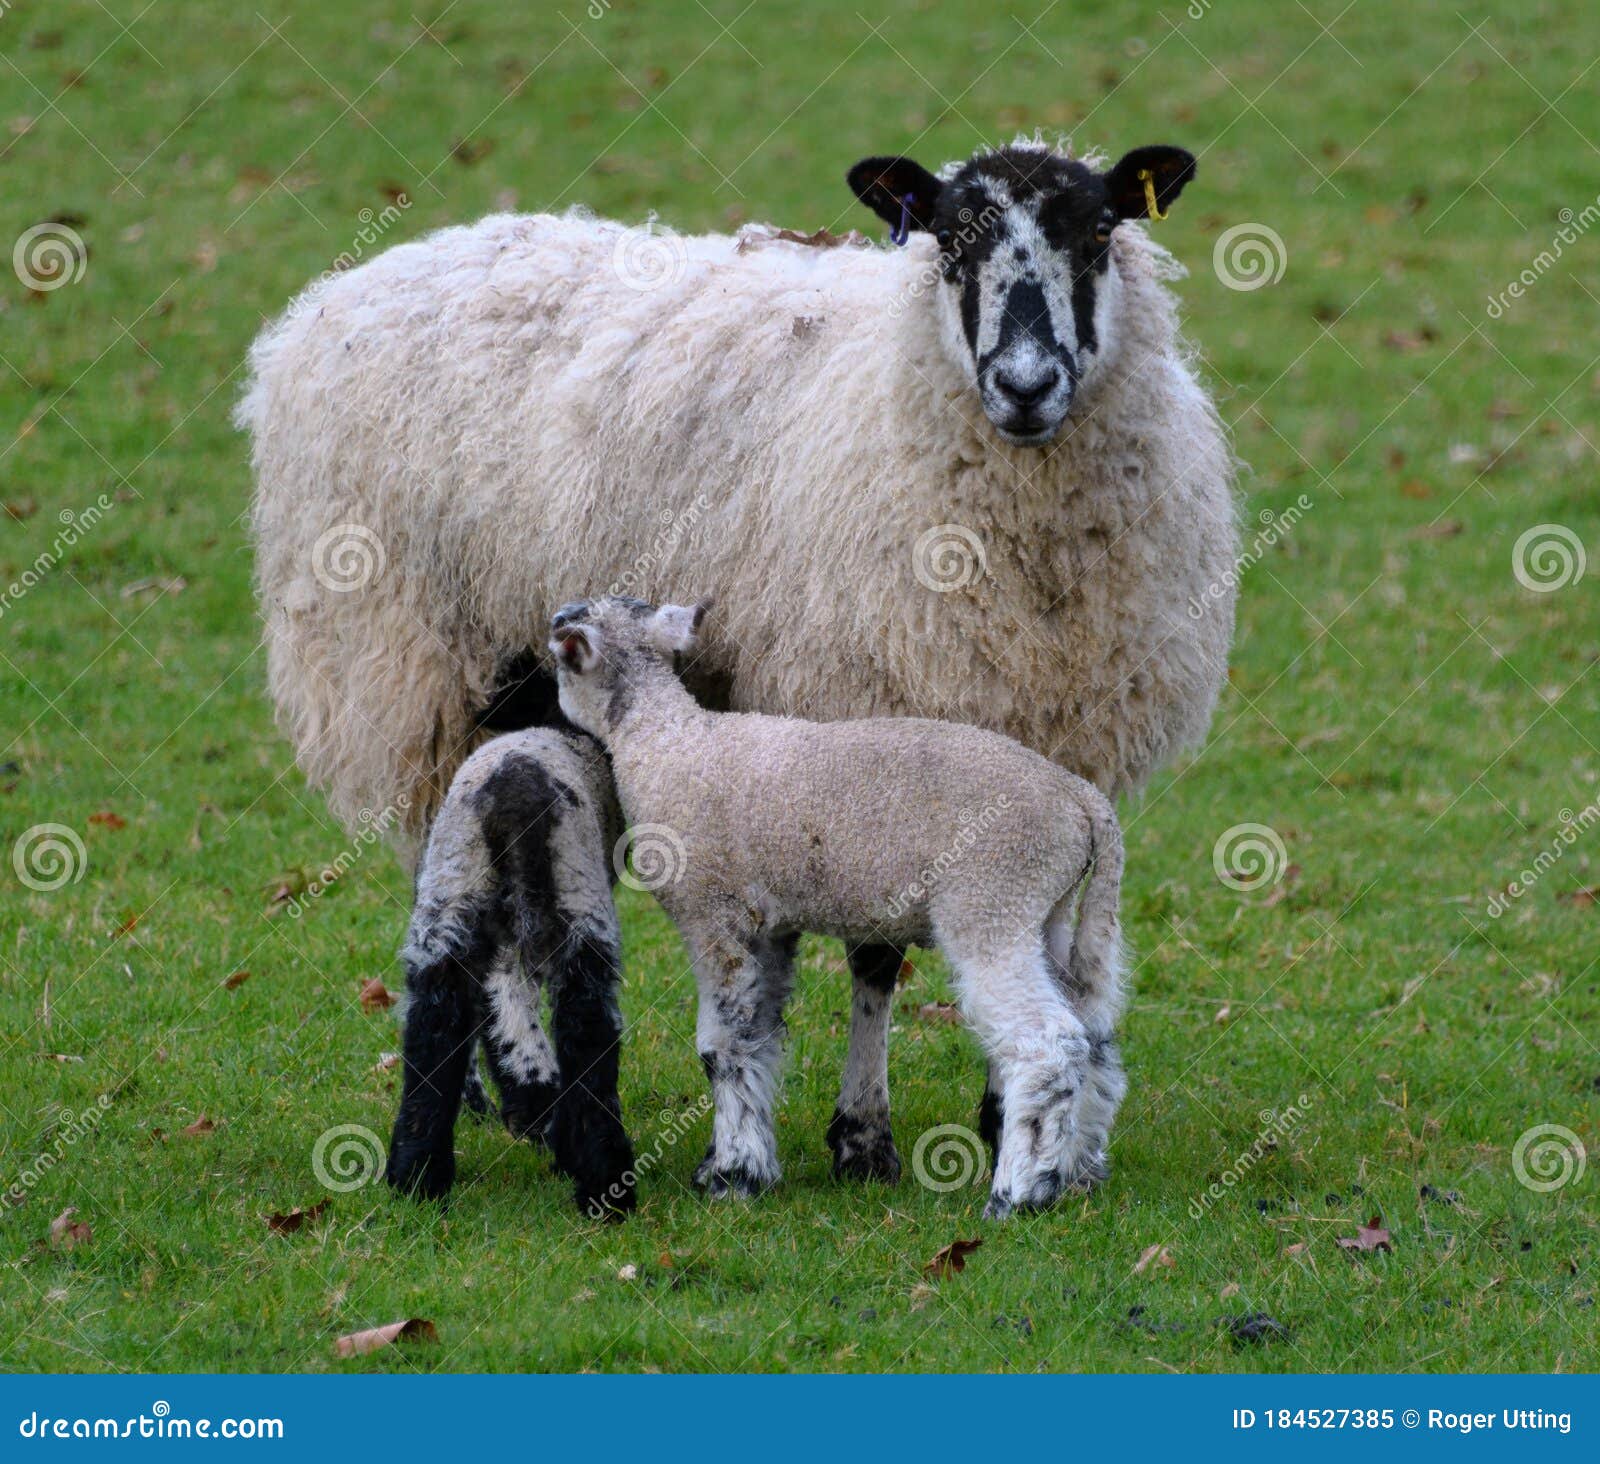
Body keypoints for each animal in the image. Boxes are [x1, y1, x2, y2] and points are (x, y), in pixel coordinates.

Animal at [384, 726, 635, 1216]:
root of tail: (513, 798)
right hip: (577, 896)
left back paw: (417, 1178)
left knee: (434, 1028)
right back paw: (605, 1183)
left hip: (451, 899)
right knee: (586, 1030)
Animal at [547, 595, 1126, 1216]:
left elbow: (720, 1047)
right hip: (1051, 908)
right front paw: (749, 1164)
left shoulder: (712, 911)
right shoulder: (768, 927)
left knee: (1049, 1043)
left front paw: (731, 1178)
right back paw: (1080, 1171)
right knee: (1095, 1038)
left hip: (995, 895)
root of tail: (1081, 801)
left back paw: (1019, 1194)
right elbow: (759, 1036)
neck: (664, 740)